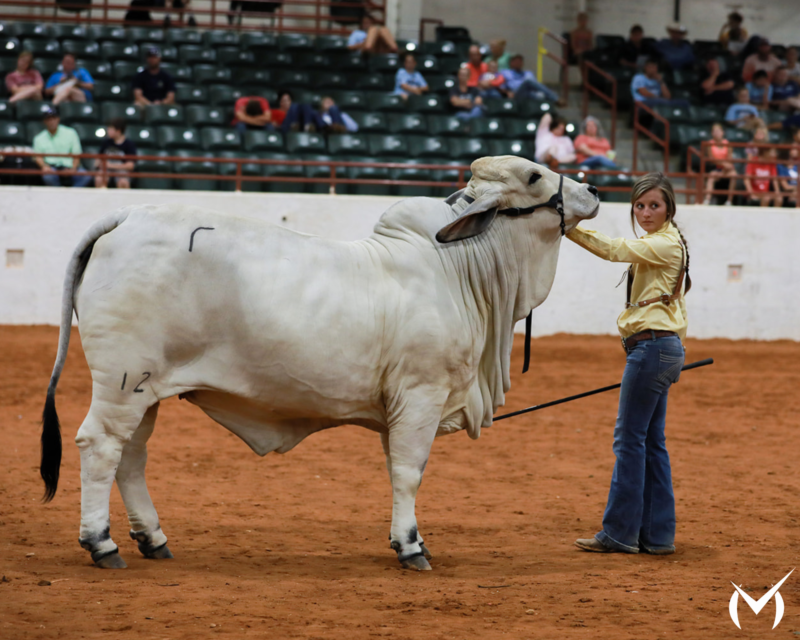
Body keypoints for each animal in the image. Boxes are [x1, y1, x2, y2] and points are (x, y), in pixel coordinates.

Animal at [40, 156, 600, 571]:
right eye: (534, 175)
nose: (593, 191)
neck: (457, 269)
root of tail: (126, 215)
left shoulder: (399, 406)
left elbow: (396, 468)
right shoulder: (421, 394)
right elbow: (409, 472)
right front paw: (412, 547)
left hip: (147, 390)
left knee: (131, 457)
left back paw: (153, 538)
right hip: (122, 382)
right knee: (100, 447)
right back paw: (102, 543)